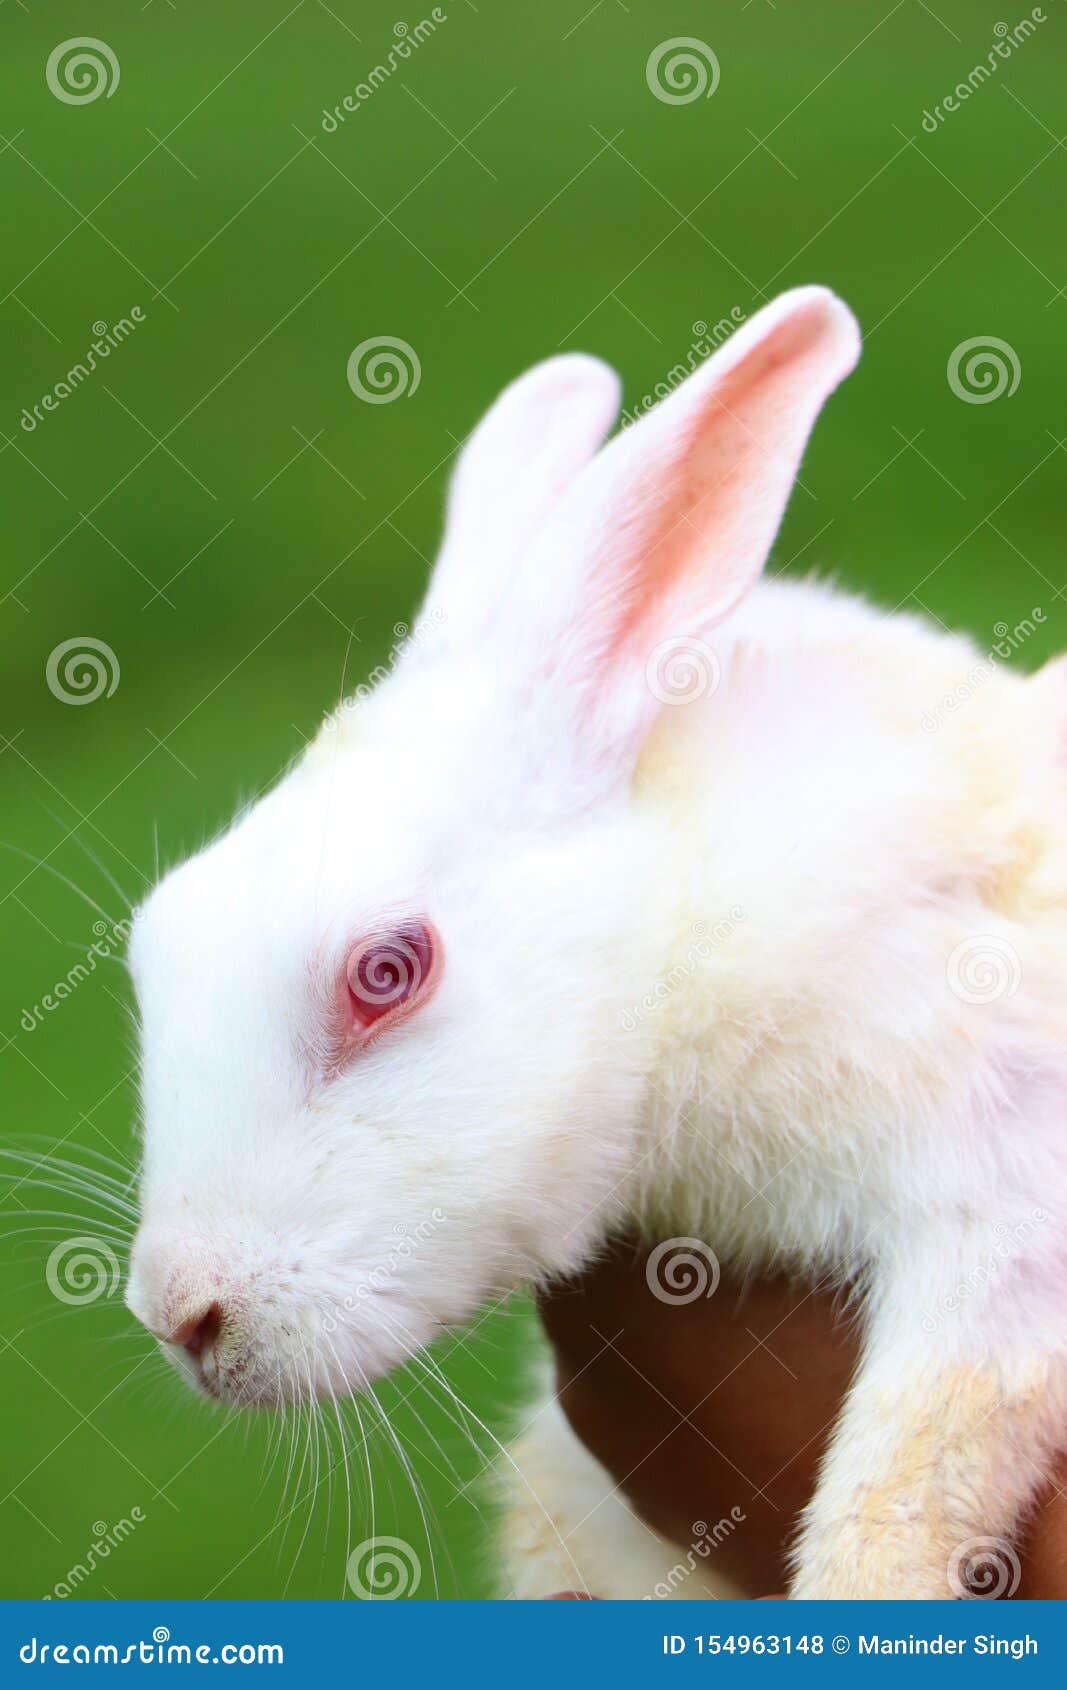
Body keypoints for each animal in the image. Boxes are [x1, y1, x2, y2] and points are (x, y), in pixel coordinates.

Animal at [124, 285, 1067, 1600]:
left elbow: (901, 1487)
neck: (674, 914)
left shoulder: (1003, 1193)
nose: (179, 1314)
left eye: (385, 973)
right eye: (153, 940)